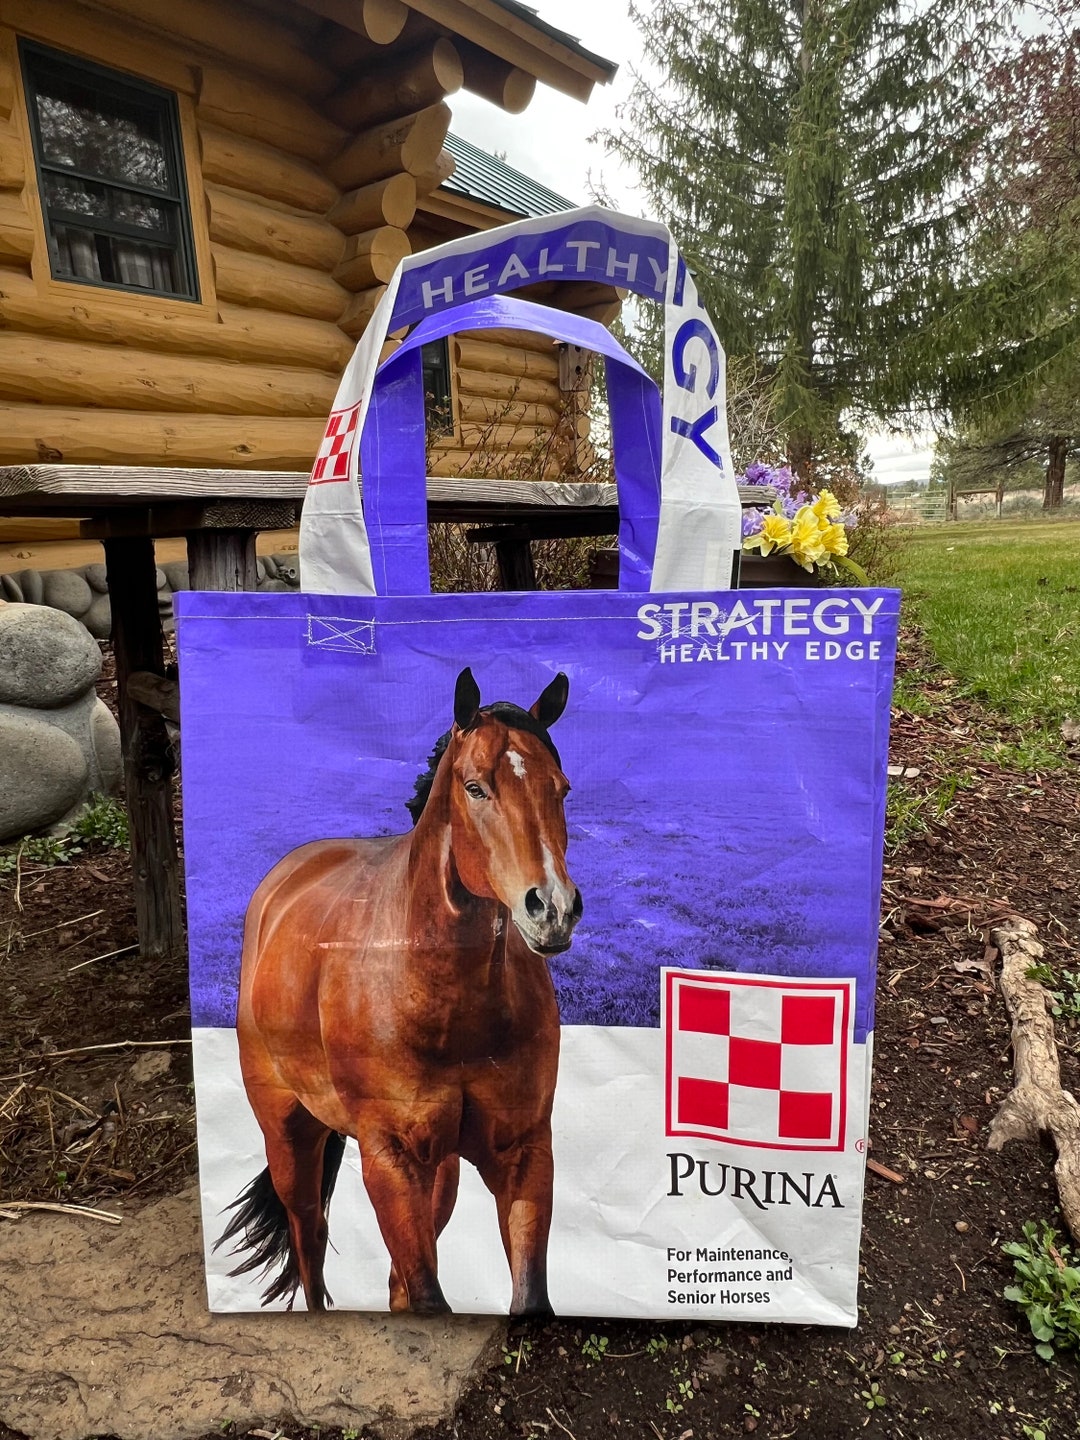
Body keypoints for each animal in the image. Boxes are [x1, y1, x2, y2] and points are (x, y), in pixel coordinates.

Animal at [217, 666, 581, 1316]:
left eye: (560, 789)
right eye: (475, 787)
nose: (553, 908)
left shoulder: (522, 1154)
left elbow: (523, 1298)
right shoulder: (389, 1159)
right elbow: (428, 1298)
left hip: (441, 1171)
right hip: (289, 1132)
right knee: (309, 1237)